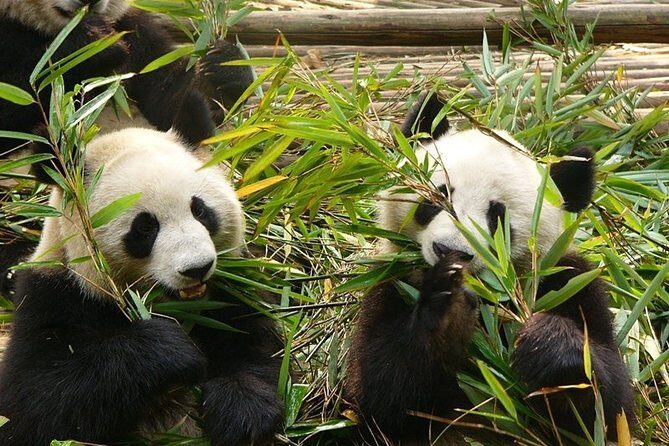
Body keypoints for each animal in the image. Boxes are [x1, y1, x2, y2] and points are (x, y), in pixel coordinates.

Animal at [0, 128, 283, 446]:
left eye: (200, 210)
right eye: (145, 227)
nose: (197, 268)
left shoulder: (231, 290)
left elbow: (255, 343)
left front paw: (241, 409)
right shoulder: (54, 295)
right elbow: (32, 403)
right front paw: (171, 349)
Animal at [346, 93, 634, 444]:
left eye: (498, 217)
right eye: (437, 197)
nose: (451, 251)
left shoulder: (570, 282)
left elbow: (609, 410)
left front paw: (548, 343)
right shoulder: (394, 281)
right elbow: (379, 391)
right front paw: (449, 312)